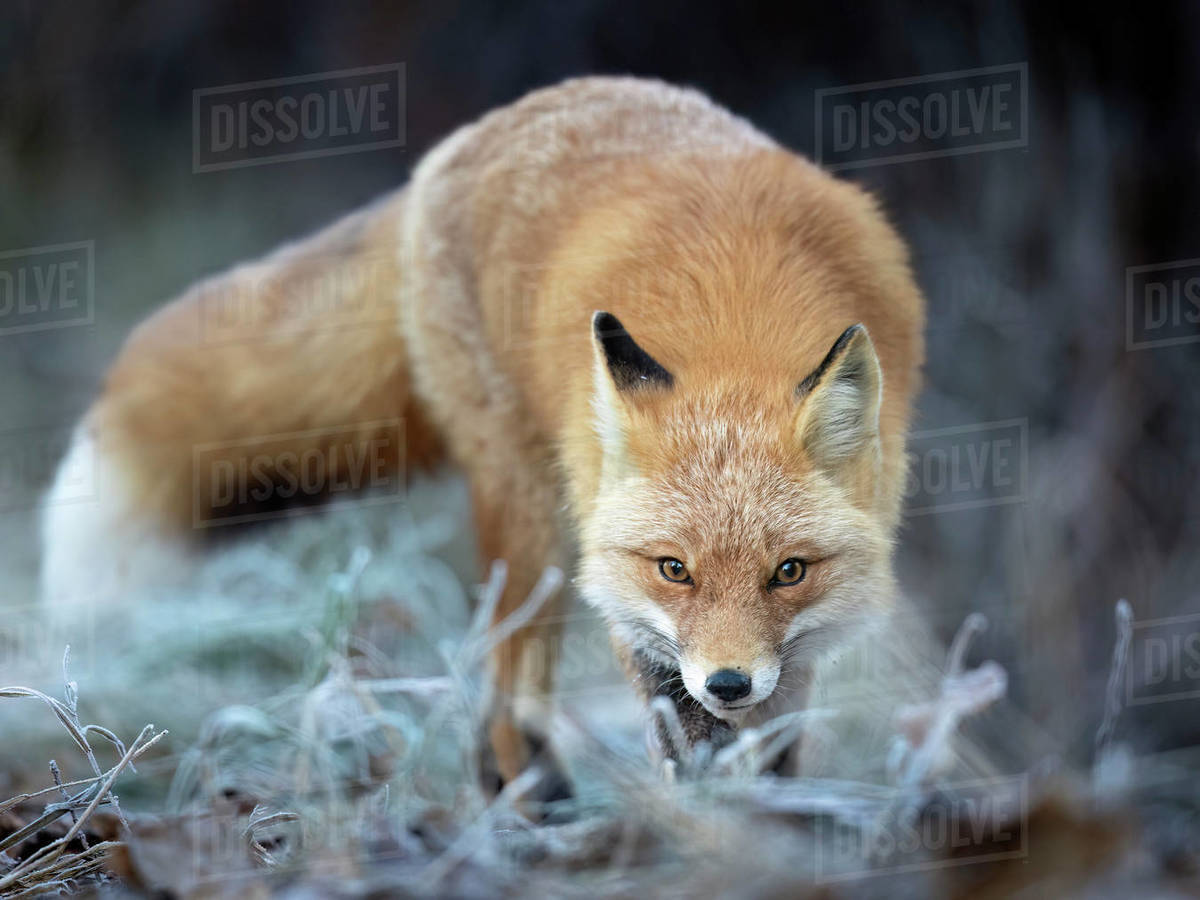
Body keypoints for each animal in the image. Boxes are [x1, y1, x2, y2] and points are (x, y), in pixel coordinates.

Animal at [41, 77, 924, 800]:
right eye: (674, 569)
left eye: (789, 572)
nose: (730, 683)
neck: (736, 330)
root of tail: (476, 134)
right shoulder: (628, 592)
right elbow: (678, 722)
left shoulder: (796, 646)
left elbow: (777, 742)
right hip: (529, 510)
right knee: (507, 673)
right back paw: (530, 799)